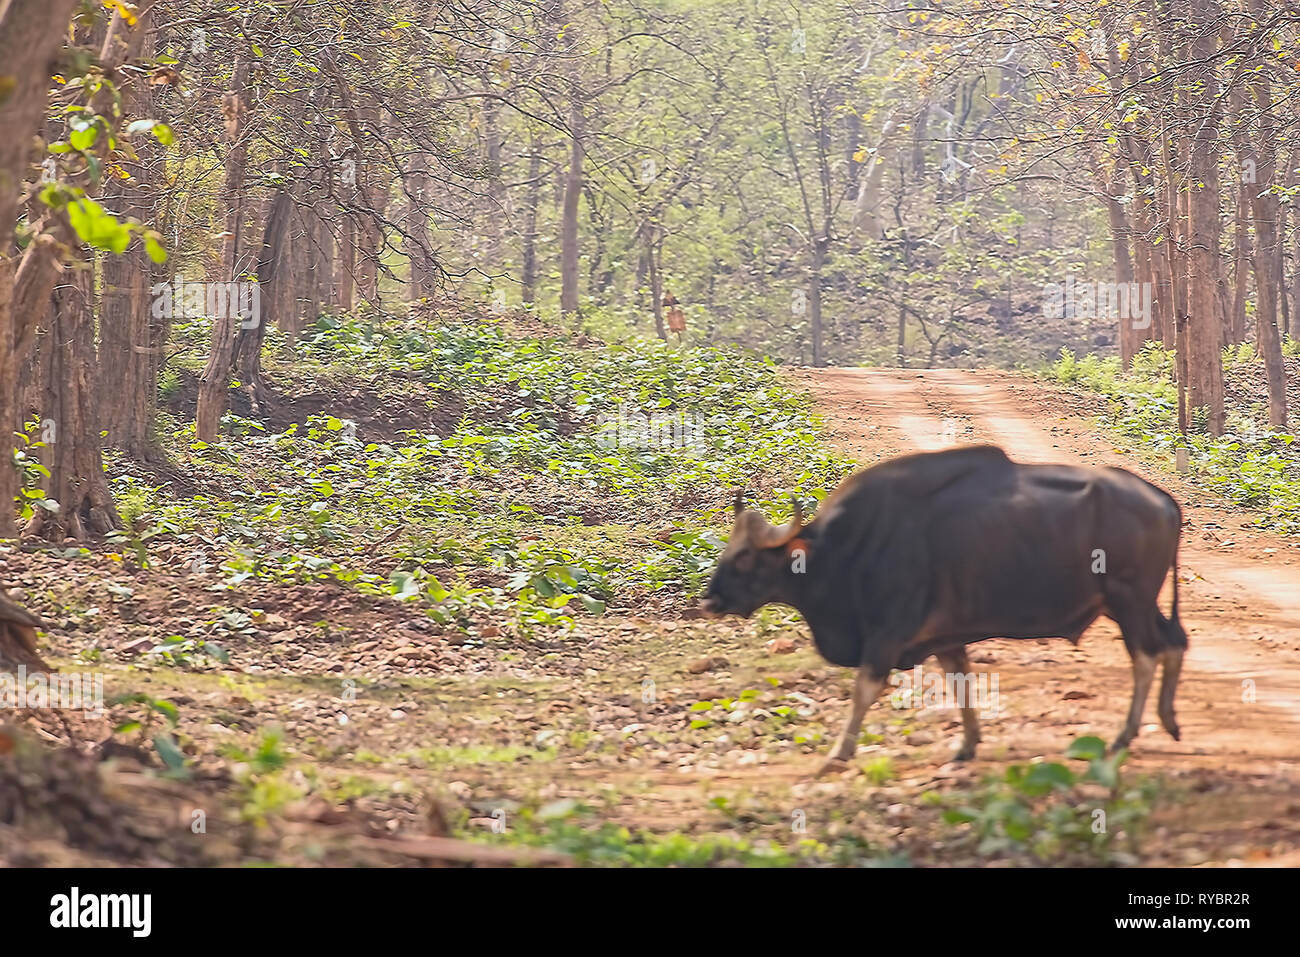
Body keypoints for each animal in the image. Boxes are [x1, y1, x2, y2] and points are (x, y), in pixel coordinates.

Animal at [699, 445, 1187, 776]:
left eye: (746, 557)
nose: (709, 601)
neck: (852, 547)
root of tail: (1163, 500)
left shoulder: (887, 633)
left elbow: (863, 690)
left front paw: (839, 752)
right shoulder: (945, 638)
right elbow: (961, 683)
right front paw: (968, 744)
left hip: (1128, 600)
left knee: (1146, 655)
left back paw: (1124, 736)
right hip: (1130, 604)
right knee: (1174, 643)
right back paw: (1168, 720)